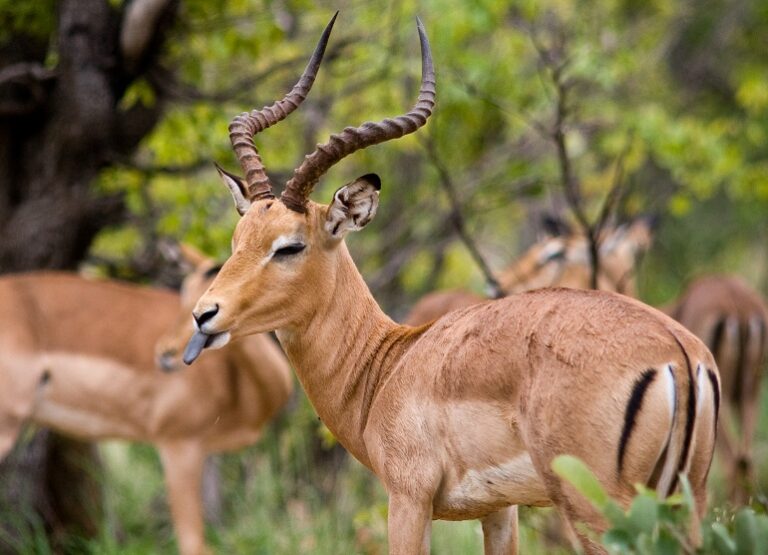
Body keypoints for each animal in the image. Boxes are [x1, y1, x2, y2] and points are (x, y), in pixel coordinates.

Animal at [184, 15, 719, 553]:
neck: (387, 366)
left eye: (290, 246)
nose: (204, 313)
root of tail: (679, 353)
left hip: (599, 513)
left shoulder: (408, 499)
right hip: (685, 505)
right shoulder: (501, 510)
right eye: (238, 239)